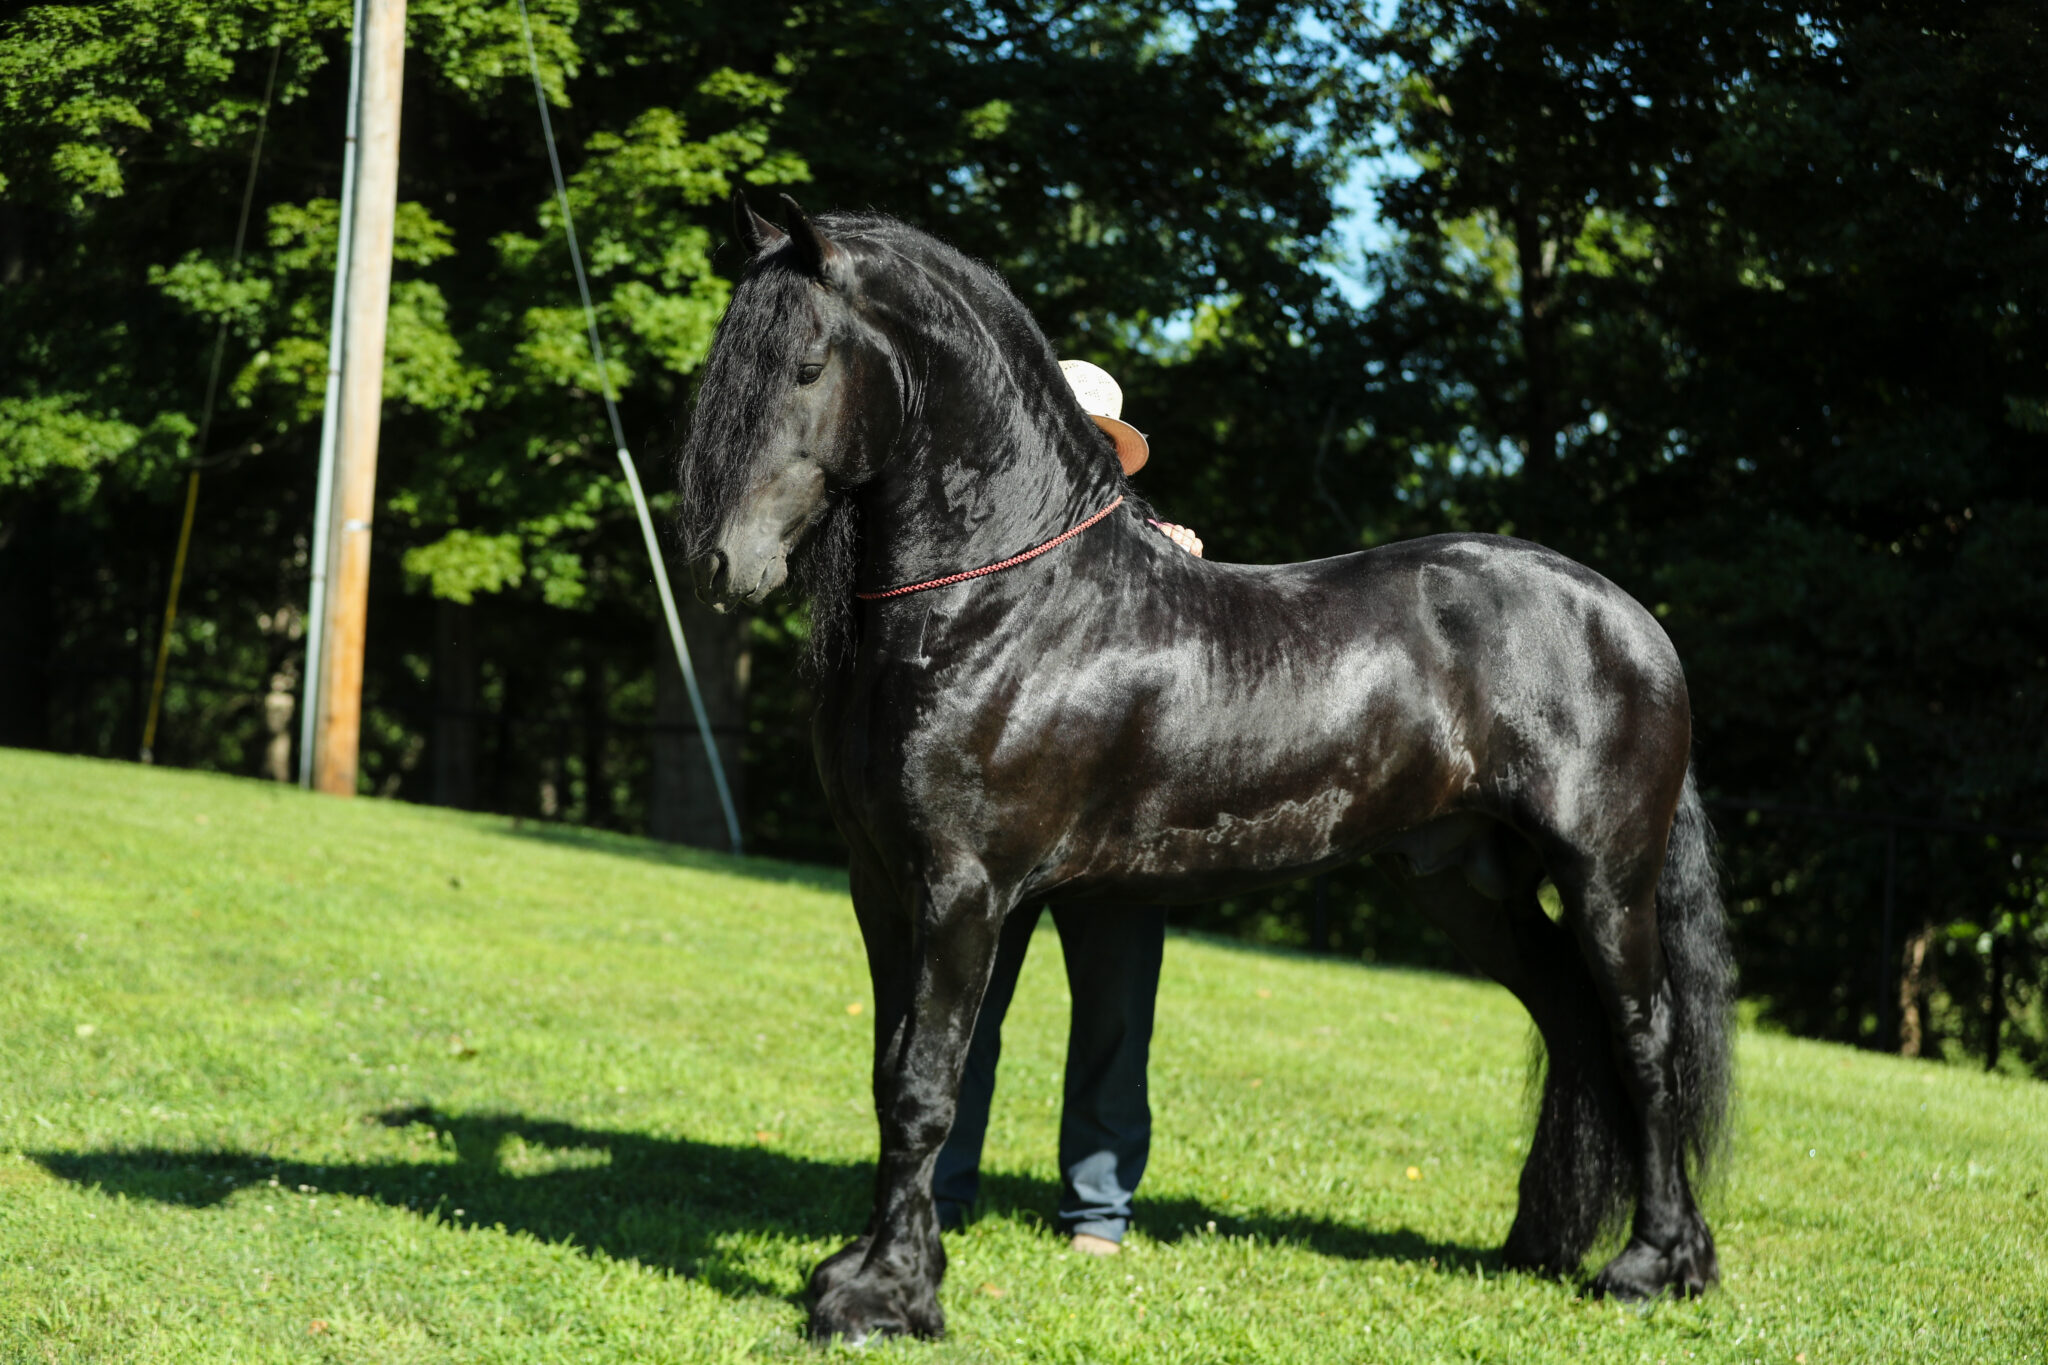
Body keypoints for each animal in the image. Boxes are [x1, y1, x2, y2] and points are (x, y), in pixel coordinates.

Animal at [678, 194, 1734, 1344]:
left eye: (806, 365)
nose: (724, 565)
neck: (1003, 605)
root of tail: (1629, 622)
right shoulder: (881, 885)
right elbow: (891, 1073)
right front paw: (868, 1271)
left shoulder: (961, 891)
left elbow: (923, 1085)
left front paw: (886, 1299)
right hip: (1469, 888)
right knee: (1571, 1026)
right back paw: (1541, 1245)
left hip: (1605, 883)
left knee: (1643, 1041)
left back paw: (1654, 1265)